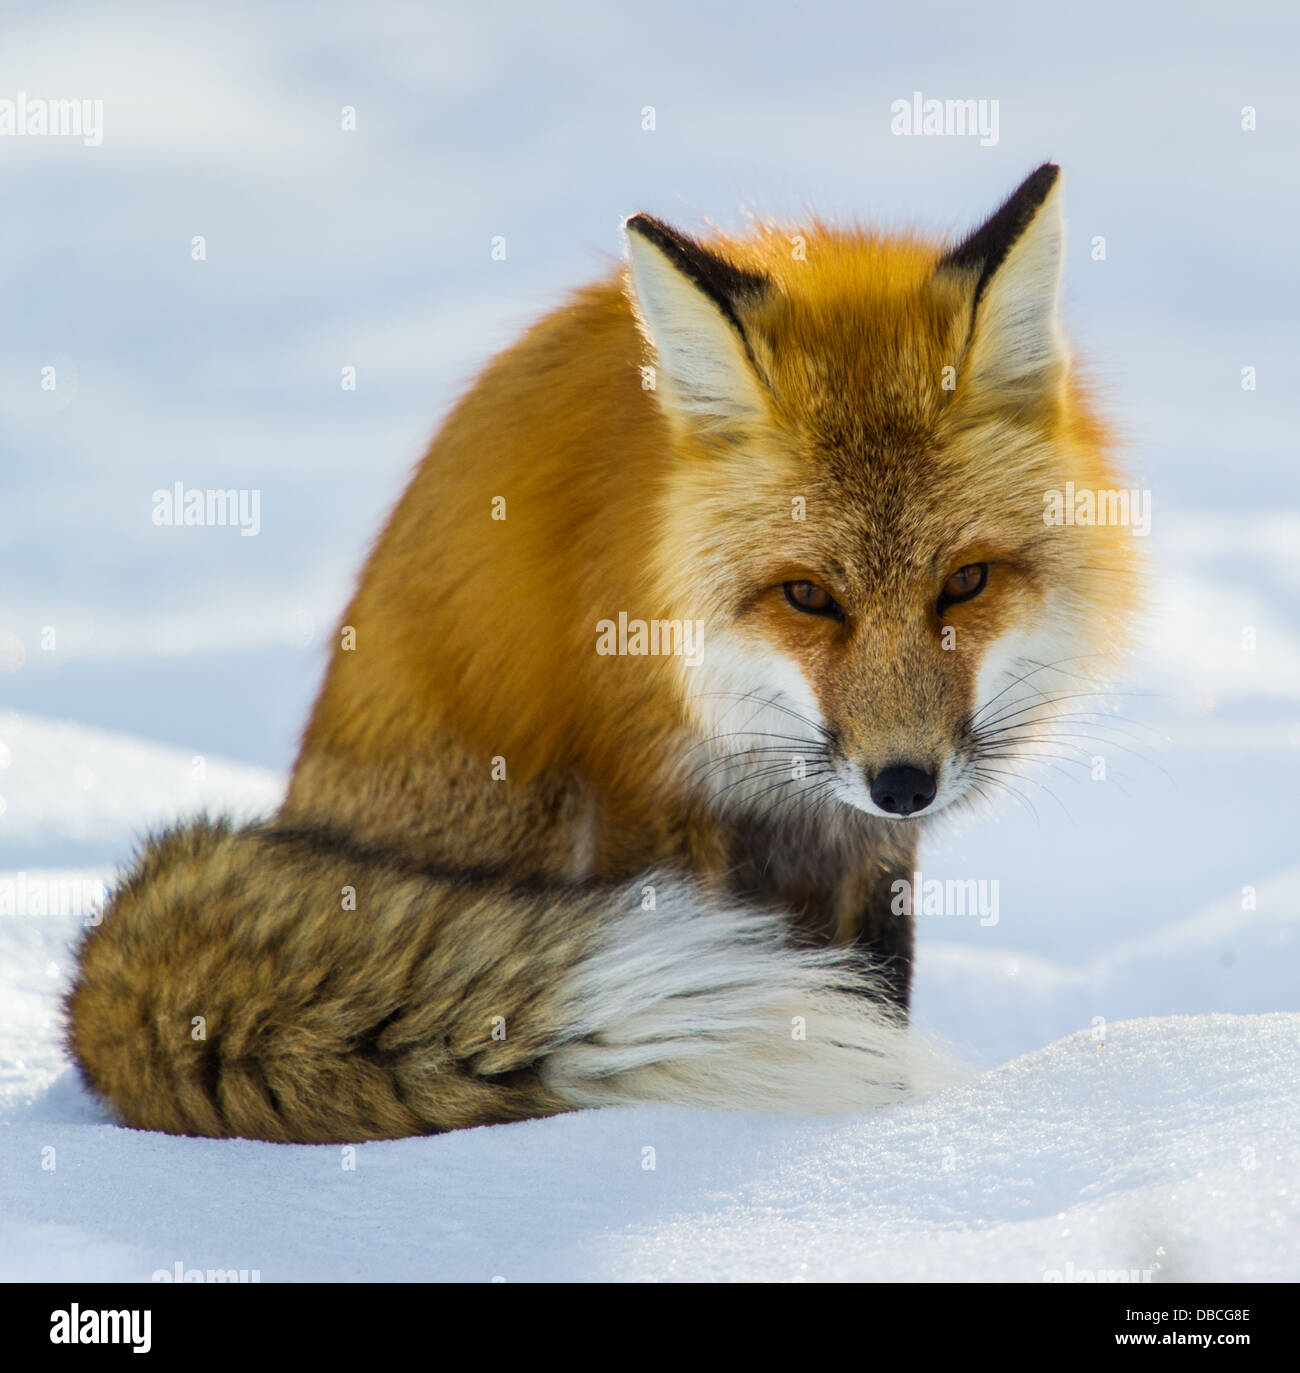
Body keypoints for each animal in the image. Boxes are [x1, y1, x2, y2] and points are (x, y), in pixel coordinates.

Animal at [67, 164, 1139, 1143]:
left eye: (966, 581)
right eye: (807, 596)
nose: (905, 781)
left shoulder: (866, 849)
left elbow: (875, 996)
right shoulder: (649, 797)